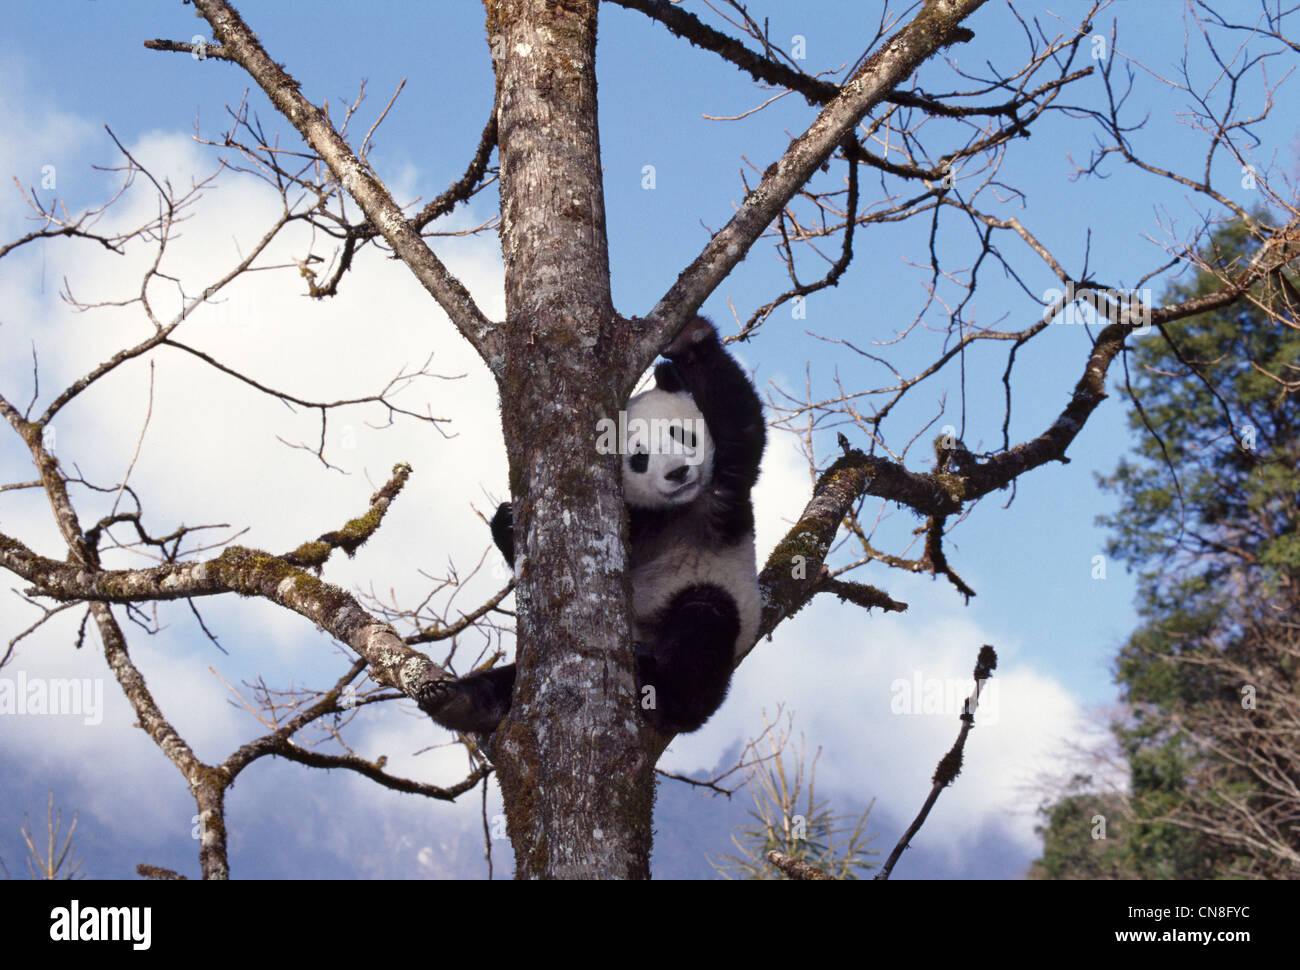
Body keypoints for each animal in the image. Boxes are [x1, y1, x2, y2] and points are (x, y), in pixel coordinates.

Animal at [418, 315, 765, 735]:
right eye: (639, 458)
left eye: (682, 434)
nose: (678, 473)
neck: (674, 512)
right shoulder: (636, 523)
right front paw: (506, 520)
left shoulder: (723, 500)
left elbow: (742, 424)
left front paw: (688, 339)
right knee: (512, 679)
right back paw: (459, 701)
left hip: (714, 593)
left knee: (702, 632)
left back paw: (665, 694)